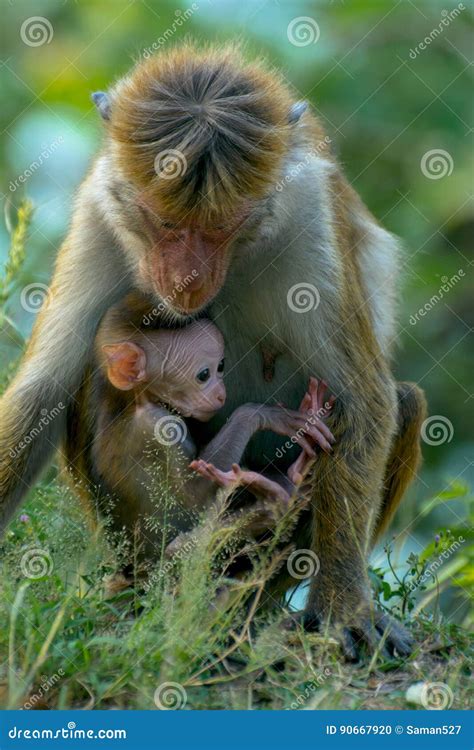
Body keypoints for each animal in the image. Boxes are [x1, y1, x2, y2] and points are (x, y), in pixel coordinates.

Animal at [0, 43, 427, 657]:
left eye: (221, 226)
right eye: (163, 221)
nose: (186, 281)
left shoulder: (312, 219)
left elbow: (364, 399)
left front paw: (344, 603)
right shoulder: (100, 211)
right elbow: (43, 389)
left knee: (406, 401)